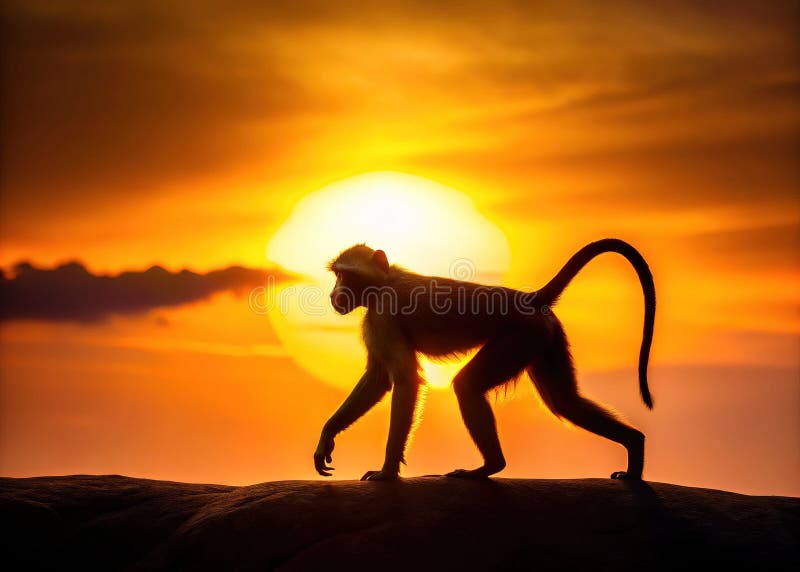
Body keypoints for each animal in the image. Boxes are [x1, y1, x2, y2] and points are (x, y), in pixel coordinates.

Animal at [314, 238, 655, 482]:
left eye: (345, 275)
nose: (334, 294)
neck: (385, 280)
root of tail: (525, 299)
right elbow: (379, 379)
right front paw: (327, 436)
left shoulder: (383, 314)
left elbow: (405, 380)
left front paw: (387, 472)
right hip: (543, 337)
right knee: (564, 402)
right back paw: (635, 446)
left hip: (521, 336)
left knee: (467, 385)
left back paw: (490, 465)